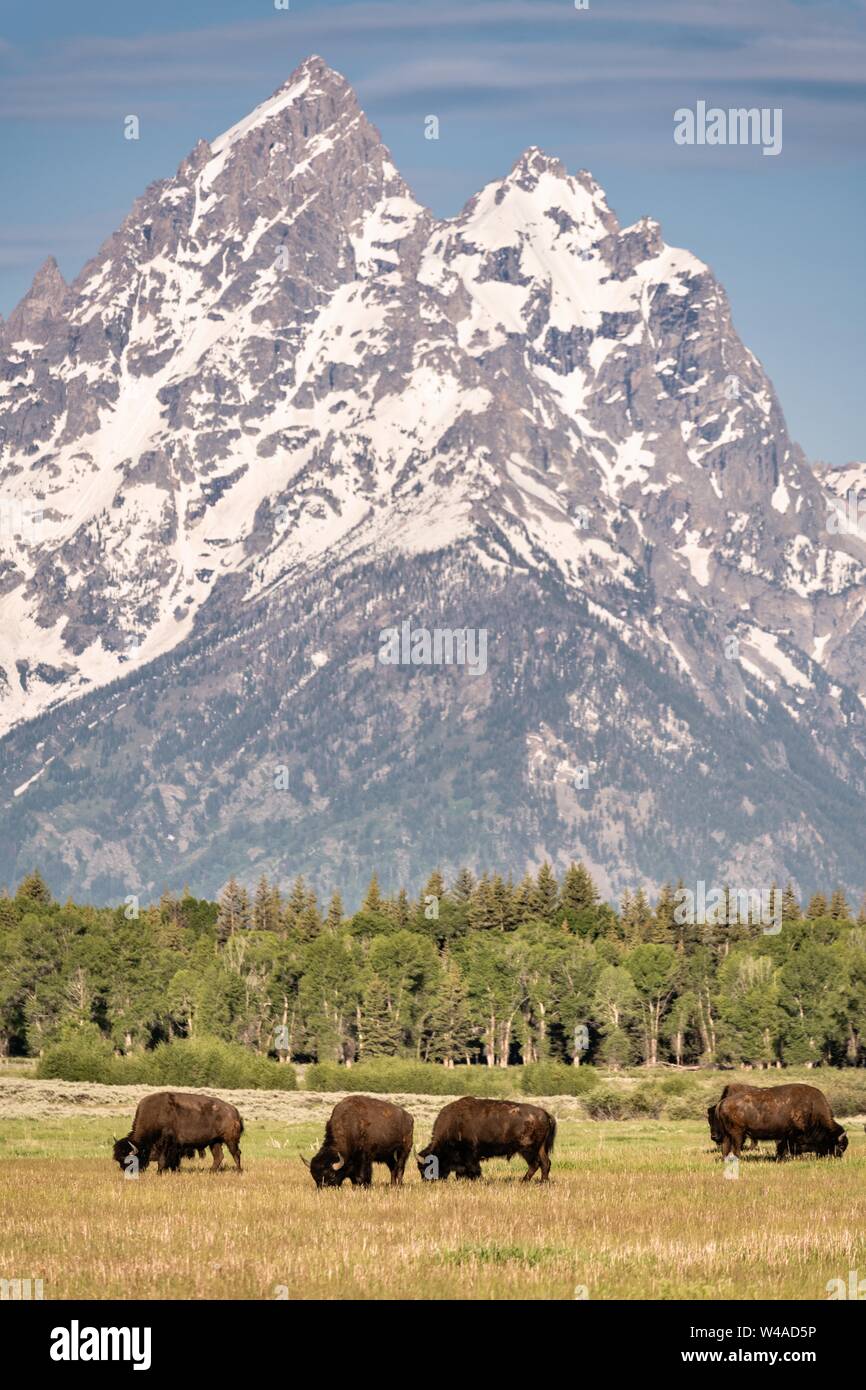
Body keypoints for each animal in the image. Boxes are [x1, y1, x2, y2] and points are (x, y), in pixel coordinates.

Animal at [112, 1091, 244, 1174]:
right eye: (118, 1159)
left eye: (130, 1160)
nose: (127, 1171)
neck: (156, 1115)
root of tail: (234, 1110)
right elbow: (173, 1162)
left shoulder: (166, 1144)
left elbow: (162, 1160)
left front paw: (159, 1172)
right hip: (214, 1142)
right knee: (218, 1156)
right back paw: (211, 1172)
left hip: (230, 1140)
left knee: (236, 1153)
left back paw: (238, 1171)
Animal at [417, 1097, 556, 1182]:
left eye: (426, 1167)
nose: (426, 1180)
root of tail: (545, 1113)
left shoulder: (470, 1155)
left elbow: (474, 1169)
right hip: (540, 1148)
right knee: (545, 1163)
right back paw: (541, 1182)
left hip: (527, 1149)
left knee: (535, 1164)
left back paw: (525, 1181)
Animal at [714, 1082, 847, 1161]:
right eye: (840, 1145)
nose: (839, 1157)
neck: (812, 1108)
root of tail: (722, 1102)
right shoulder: (792, 1135)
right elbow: (788, 1148)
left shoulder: (784, 1136)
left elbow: (782, 1148)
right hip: (737, 1134)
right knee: (736, 1148)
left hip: (727, 1135)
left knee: (725, 1148)